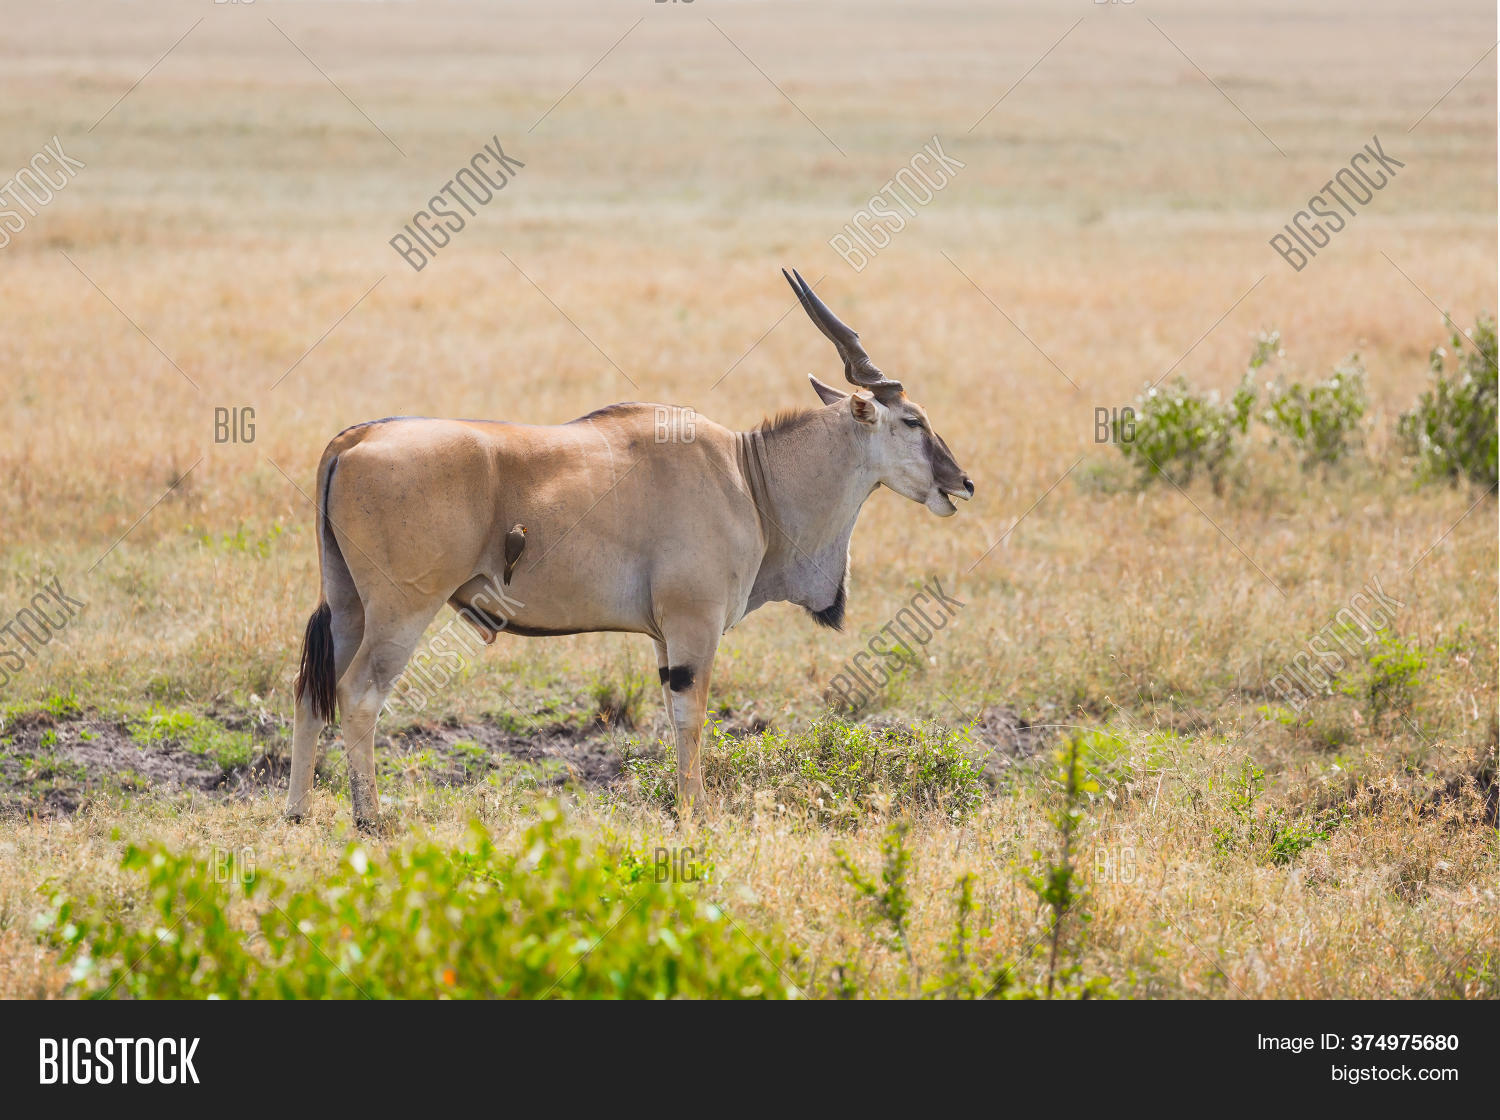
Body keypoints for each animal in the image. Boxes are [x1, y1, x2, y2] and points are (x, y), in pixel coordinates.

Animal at [287, 270, 973, 828]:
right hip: (402, 611)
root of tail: (353, 439)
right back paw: (371, 820)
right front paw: (697, 816)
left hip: (348, 607)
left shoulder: (666, 640)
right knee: (357, 694)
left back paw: (297, 813)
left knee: (310, 691)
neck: (749, 474)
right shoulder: (694, 628)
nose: (961, 482)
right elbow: (690, 717)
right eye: (912, 420)